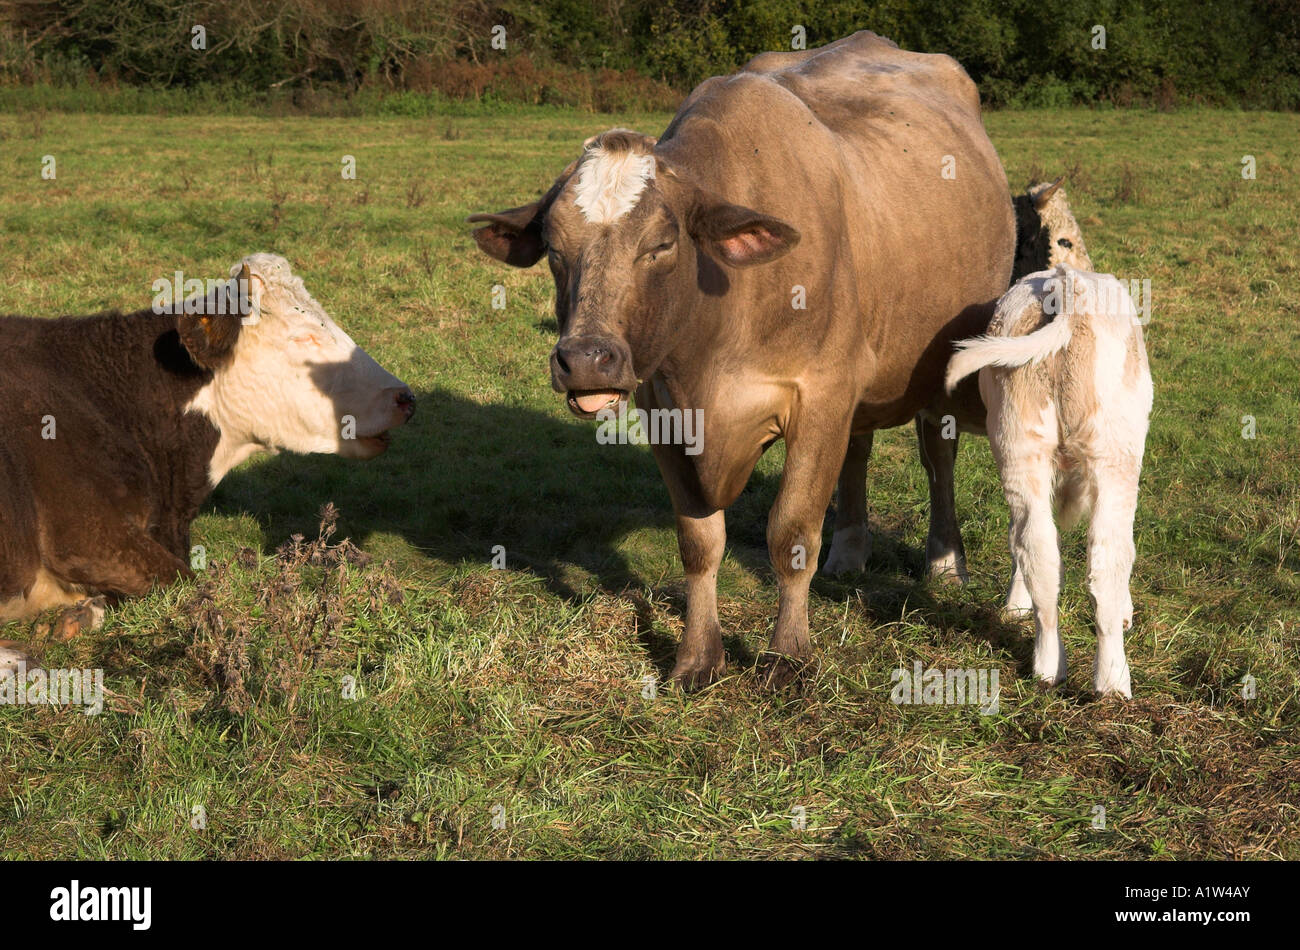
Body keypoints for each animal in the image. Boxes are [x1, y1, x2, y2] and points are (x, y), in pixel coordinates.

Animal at [469, 31, 1015, 687]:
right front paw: (697, 657)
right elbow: (698, 542)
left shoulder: (820, 392)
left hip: (944, 364)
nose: (585, 360)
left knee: (938, 453)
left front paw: (787, 655)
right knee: (858, 451)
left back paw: (944, 562)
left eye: (662, 244)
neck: (711, 357)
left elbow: (792, 531)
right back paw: (849, 549)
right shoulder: (665, 409)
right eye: (554, 247)